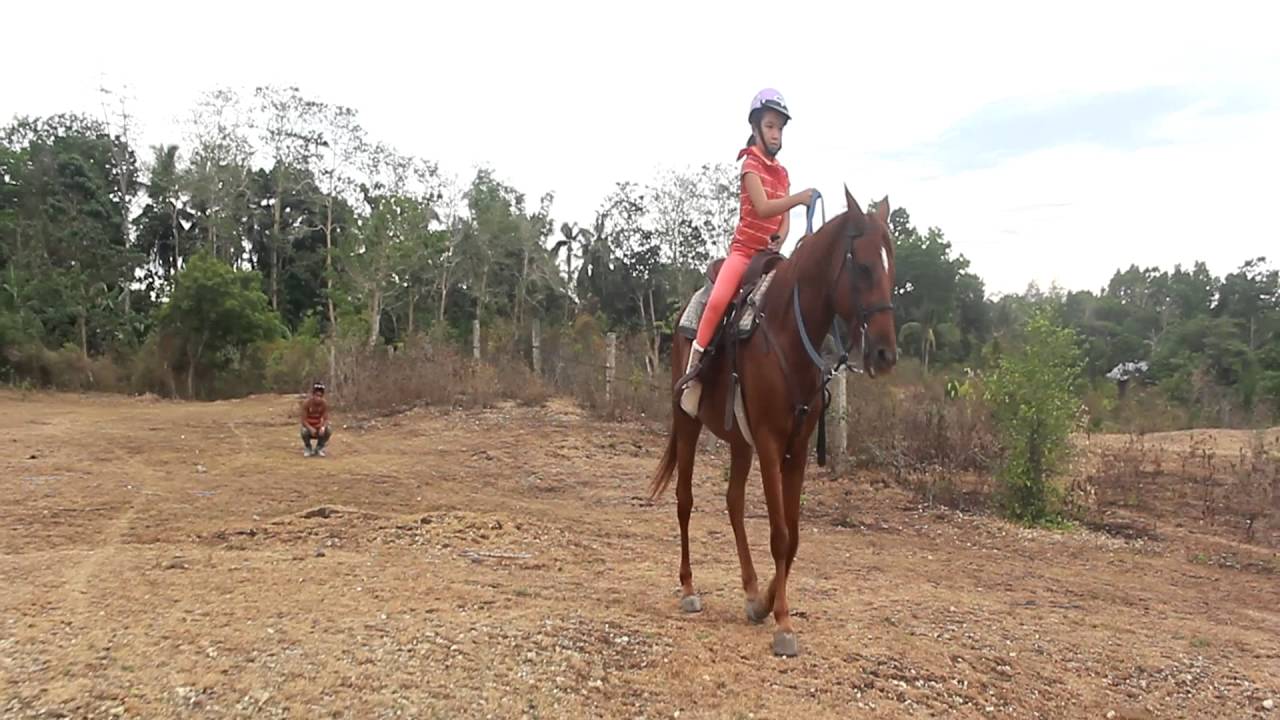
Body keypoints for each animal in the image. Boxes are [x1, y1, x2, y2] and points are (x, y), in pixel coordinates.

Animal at [647, 187, 898, 657]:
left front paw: (764, 601)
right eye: (863, 265)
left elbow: (793, 536)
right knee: (685, 500)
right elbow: (780, 533)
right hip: (688, 422)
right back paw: (689, 588)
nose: (885, 354)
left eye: (892, 266)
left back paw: (748, 589)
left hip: (738, 440)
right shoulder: (768, 441)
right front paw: (782, 624)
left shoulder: (797, 446)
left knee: (733, 502)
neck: (786, 331)